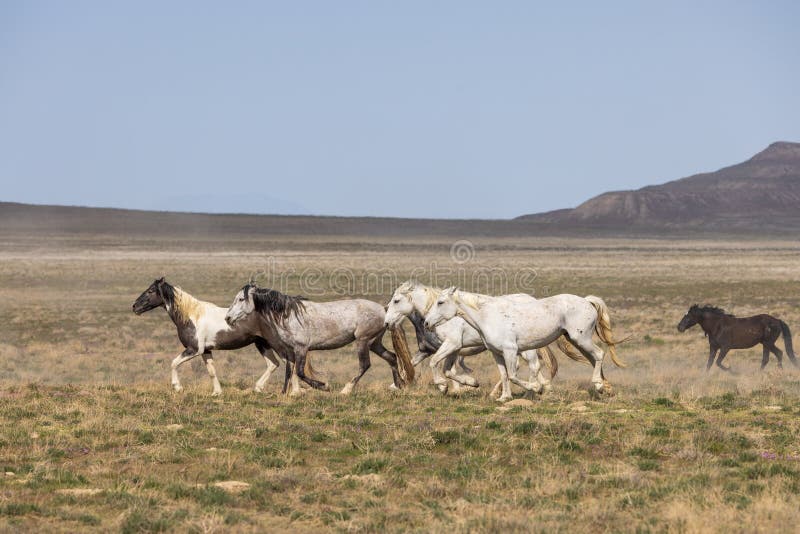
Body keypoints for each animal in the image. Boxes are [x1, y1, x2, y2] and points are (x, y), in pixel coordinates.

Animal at [132, 277, 311, 396]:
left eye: (150, 291)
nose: (134, 307)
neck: (191, 316)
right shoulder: (205, 351)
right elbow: (212, 371)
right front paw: (217, 393)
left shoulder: (194, 350)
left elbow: (174, 363)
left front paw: (177, 387)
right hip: (262, 344)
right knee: (274, 364)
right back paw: (259, 388)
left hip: (275, 343)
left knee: (289, 361)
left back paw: (294, 392)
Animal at [225, 284, 415, 394]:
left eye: (241, 299)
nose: (228, 318)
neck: (289, 315)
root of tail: (384, 310)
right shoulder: (290, 351)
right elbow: (289, 371)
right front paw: (284, 394)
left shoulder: (301, 348)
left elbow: (300, 372)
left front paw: (324, 386)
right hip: (374, 343)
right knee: (391, 357)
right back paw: (400, 385)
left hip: (363, 341)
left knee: (365, 365)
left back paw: (346, 390)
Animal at [384, 281, 571, 400]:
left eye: (396, 300)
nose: (386, 323)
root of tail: (532, 300)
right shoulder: (437, 350)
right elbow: (439, 368)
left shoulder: (451, 345)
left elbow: (437, 365)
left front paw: (447, 386)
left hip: (524, 348)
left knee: (530, 366)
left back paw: (527, 391)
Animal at [424, 287, 625, 397]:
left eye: (440, 302)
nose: (426, 323)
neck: (488, 316)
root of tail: (587, 301)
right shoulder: (497, 353)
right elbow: (504, 374)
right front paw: (503, 398)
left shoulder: (511, 350)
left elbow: (513, 375)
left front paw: (535, 388)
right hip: (577, 341)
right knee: (593, 358)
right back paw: (603, 388)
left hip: (581, 338)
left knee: (599, 354)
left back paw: (598, 384)